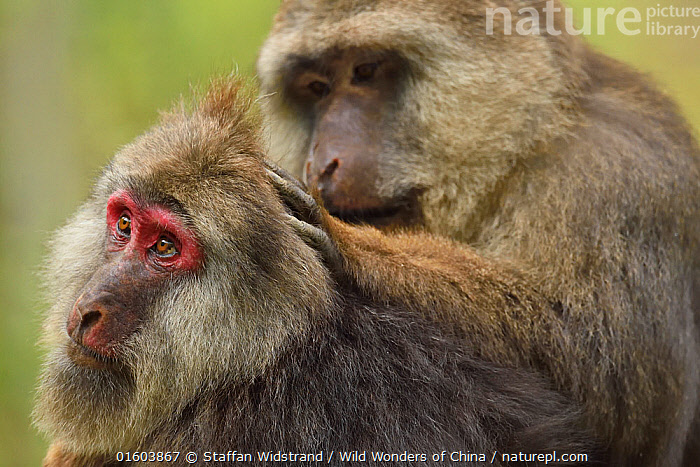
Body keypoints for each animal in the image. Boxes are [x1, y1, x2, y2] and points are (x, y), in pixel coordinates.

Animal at [256, 0, 700, 465]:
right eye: (316, 87)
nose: (322, 163)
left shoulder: (619, 171)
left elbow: (612, 397)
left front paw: (352, 248)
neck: (536, 137)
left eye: (365, 71)